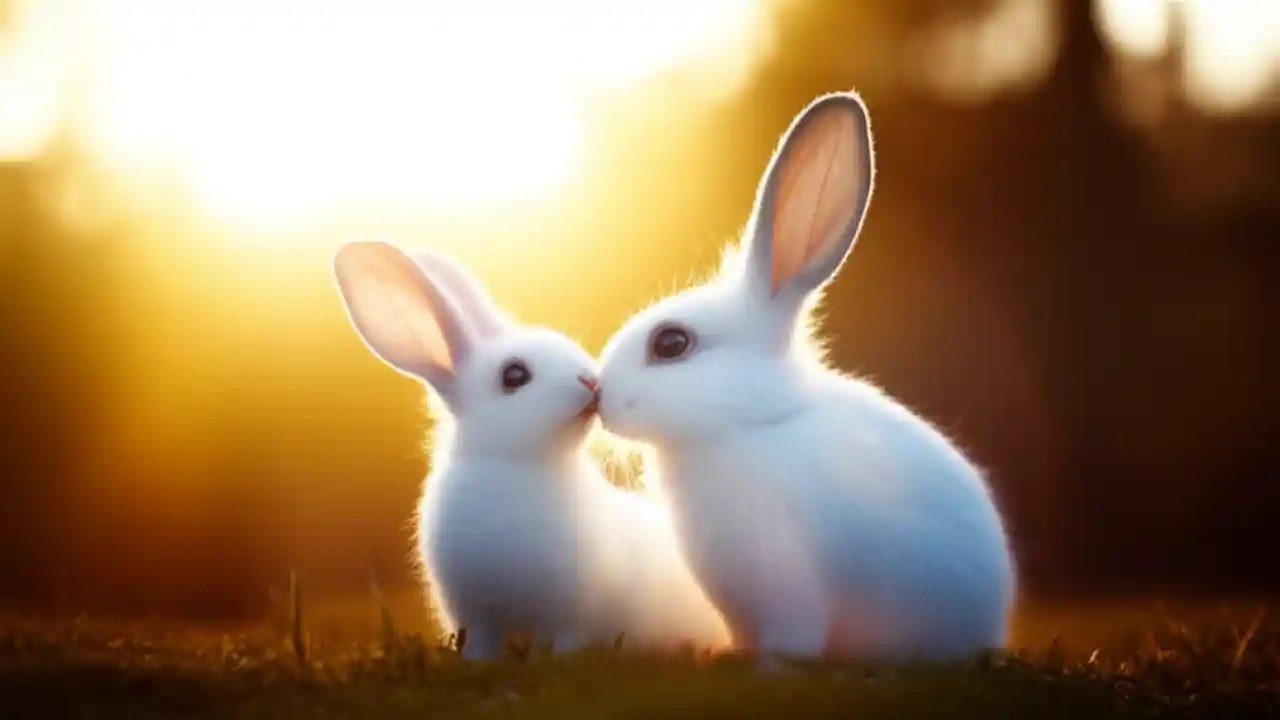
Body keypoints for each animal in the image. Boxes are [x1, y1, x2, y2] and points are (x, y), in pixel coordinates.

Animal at [332, 241, 727, 660]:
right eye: (514, 376)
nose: (589, 381)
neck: (517, 465)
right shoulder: (476, 612)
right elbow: (481, 645)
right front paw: (478, 664)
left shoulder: (567, 612)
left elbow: (562, 643)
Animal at [595, 93, 1015, 661]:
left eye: (671, 344)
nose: (599, 396)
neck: (752, 422)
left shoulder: (786, 584)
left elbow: (792, 635)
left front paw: (769, 664)